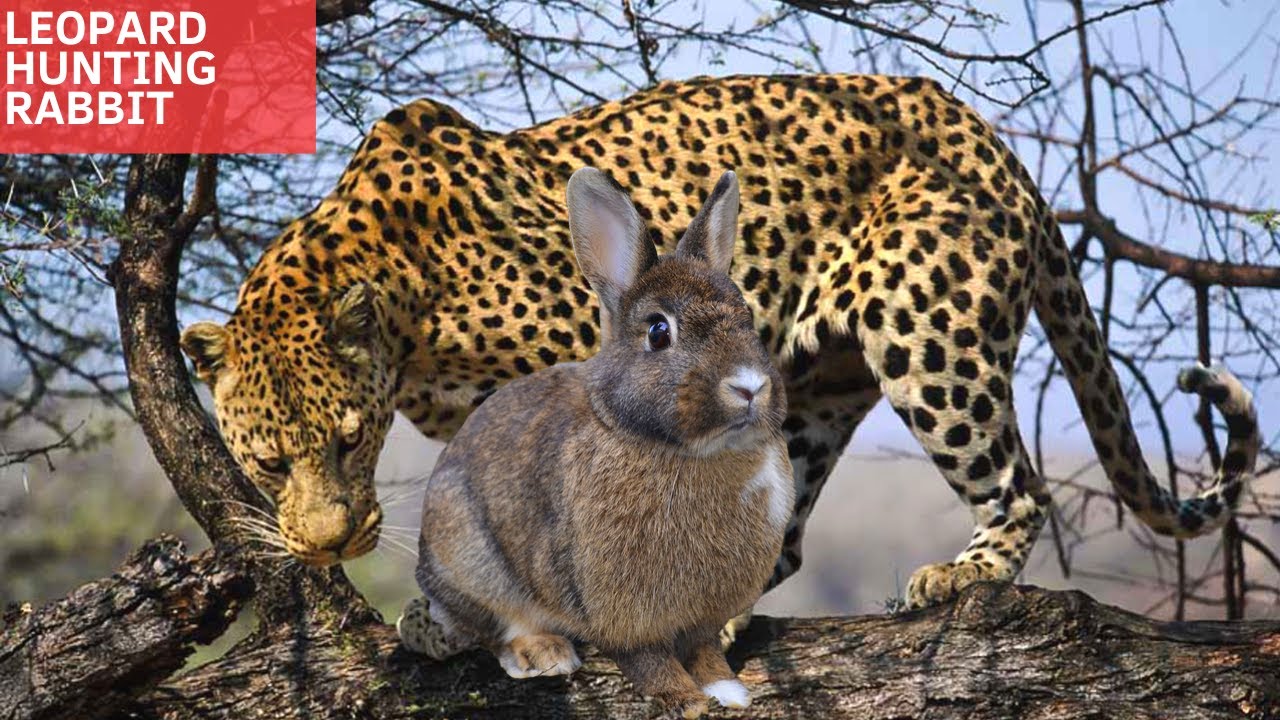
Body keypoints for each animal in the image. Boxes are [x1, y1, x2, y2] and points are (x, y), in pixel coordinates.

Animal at [180, 74, 1260, 630]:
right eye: (267, 461)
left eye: (349, 438)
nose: (326, 544)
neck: (402, 298)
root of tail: (990, 138)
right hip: (813, 389)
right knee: (782, 536)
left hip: (927, 327)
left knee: (1019, 487)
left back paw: (961, 577)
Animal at [413, 167, 792, 718]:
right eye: (658, 332)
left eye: (748, 321)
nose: (749, 386)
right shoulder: (620, 613)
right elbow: (648, 659)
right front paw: (686, 701)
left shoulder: (704, 618)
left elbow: (703, 650)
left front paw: (728, 689)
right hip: (467, 555)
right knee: (493, 626)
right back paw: (543, 654)